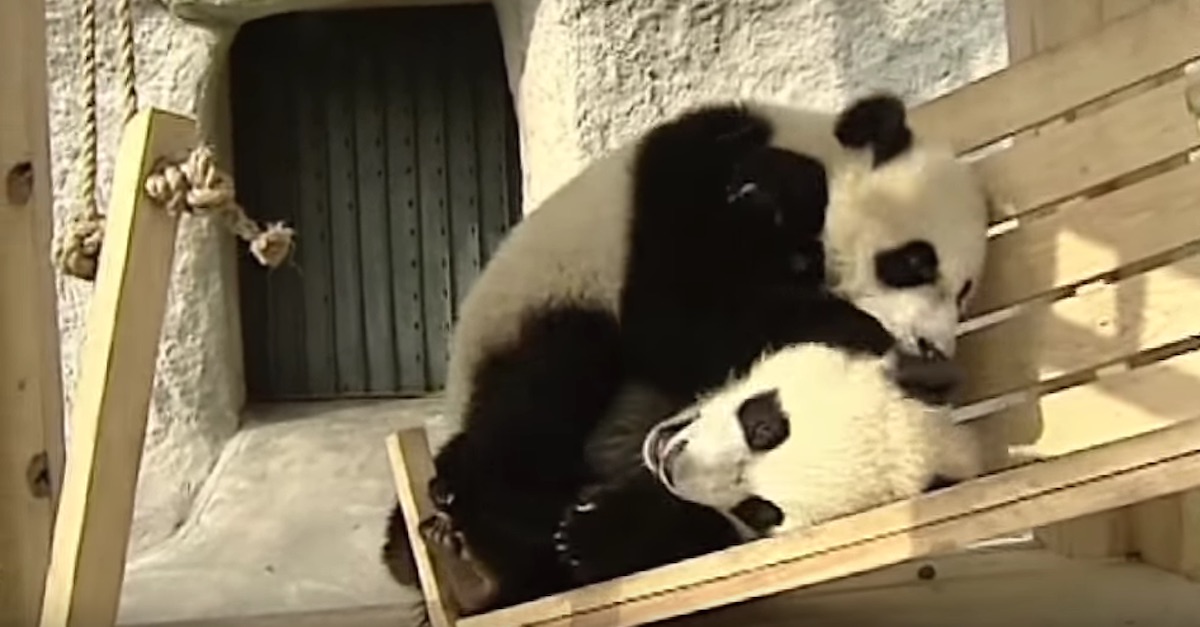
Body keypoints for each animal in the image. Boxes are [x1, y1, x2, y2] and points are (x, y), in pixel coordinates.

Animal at [382, 93, 991, 613]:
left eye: (965, 291)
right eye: (913, 262)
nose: (933, 350)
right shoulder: (685, 183)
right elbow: (677, 316)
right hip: (538, 310)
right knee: (541, 391)